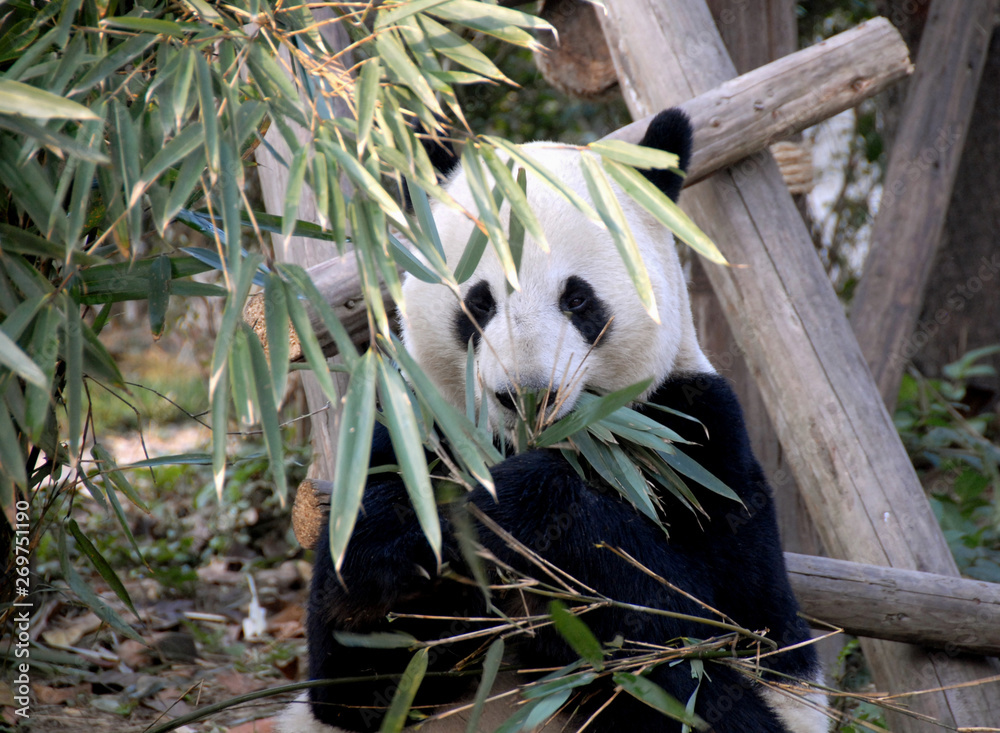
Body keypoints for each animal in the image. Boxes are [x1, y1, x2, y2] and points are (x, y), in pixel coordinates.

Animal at [279, 109, 828, 733]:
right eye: (479, 300)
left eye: (577, 299)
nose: (526, 396)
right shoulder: (405, 428)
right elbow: (357, 662)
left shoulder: (693, 437)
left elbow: (702, 627)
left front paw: (519, 516)